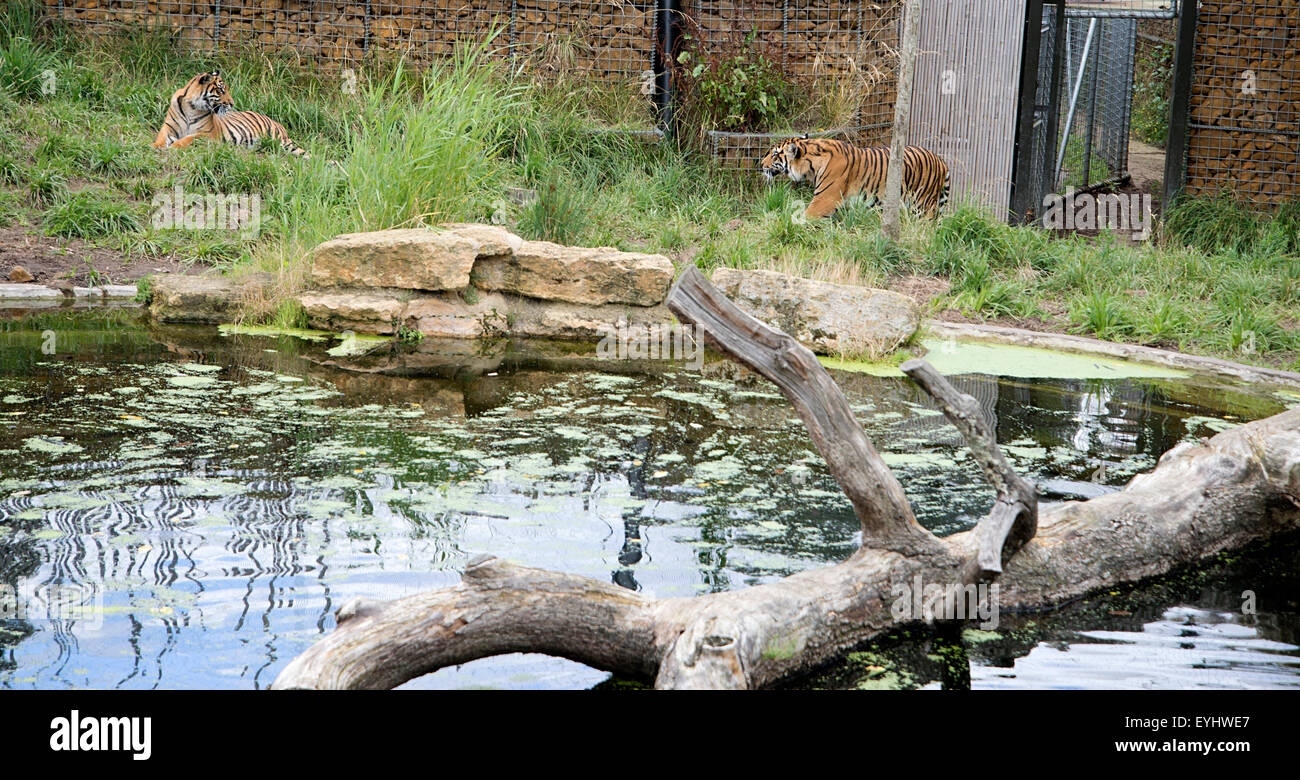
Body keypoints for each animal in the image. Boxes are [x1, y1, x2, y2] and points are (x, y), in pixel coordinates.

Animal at [152, 70, 309, 158]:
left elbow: (189, 138)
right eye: (221, 90)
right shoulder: (169, 126)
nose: (232, 103)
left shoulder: (208, 134)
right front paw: (155, 146)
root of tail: (278, 123)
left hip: (280, 141)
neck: (192, 106)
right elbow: (161, 136)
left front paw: (174, 146)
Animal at [760, 136, 948, 220]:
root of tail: (940, 160)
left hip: (922, 206)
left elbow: (803, 216)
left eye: (774, 154)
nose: (761, 164)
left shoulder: (824, 200)